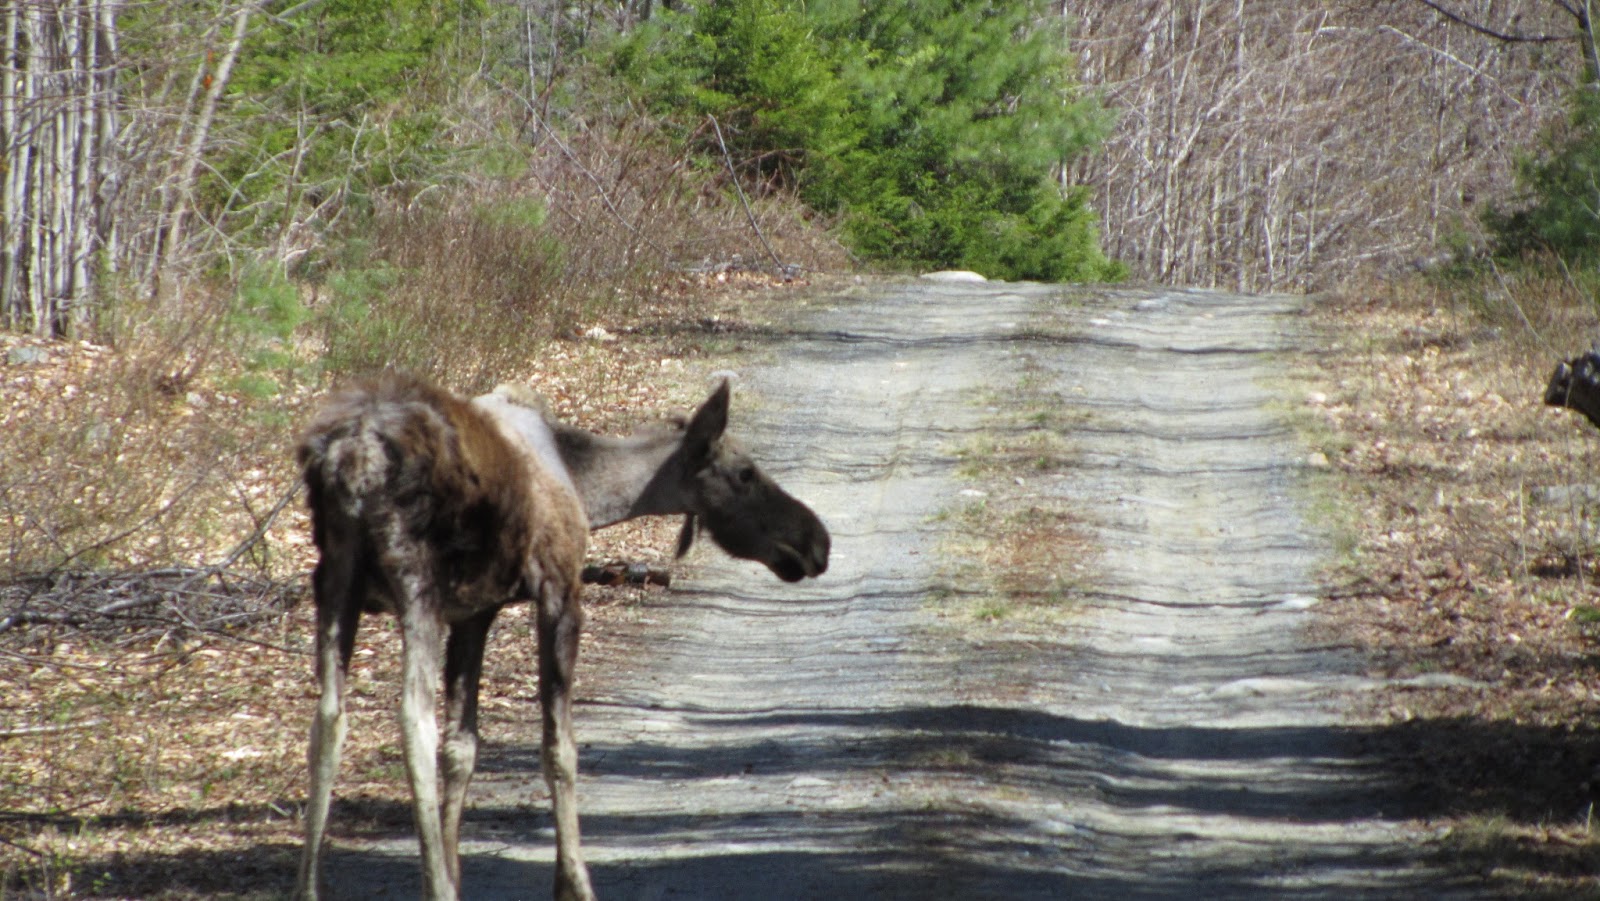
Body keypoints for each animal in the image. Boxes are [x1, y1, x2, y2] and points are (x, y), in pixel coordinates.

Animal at [292, 372, 829, 901]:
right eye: (745, 473)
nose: (817, 541)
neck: (585, 485)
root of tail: (355, 458)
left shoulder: (475, 612)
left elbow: (462, 748)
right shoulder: (559, 586)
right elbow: (560, 748)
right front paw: (573, 883)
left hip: (336, 580)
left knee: (329, 719)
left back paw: (313, 887)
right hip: (415, 584)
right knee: (412, 718)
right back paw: (436, 883)